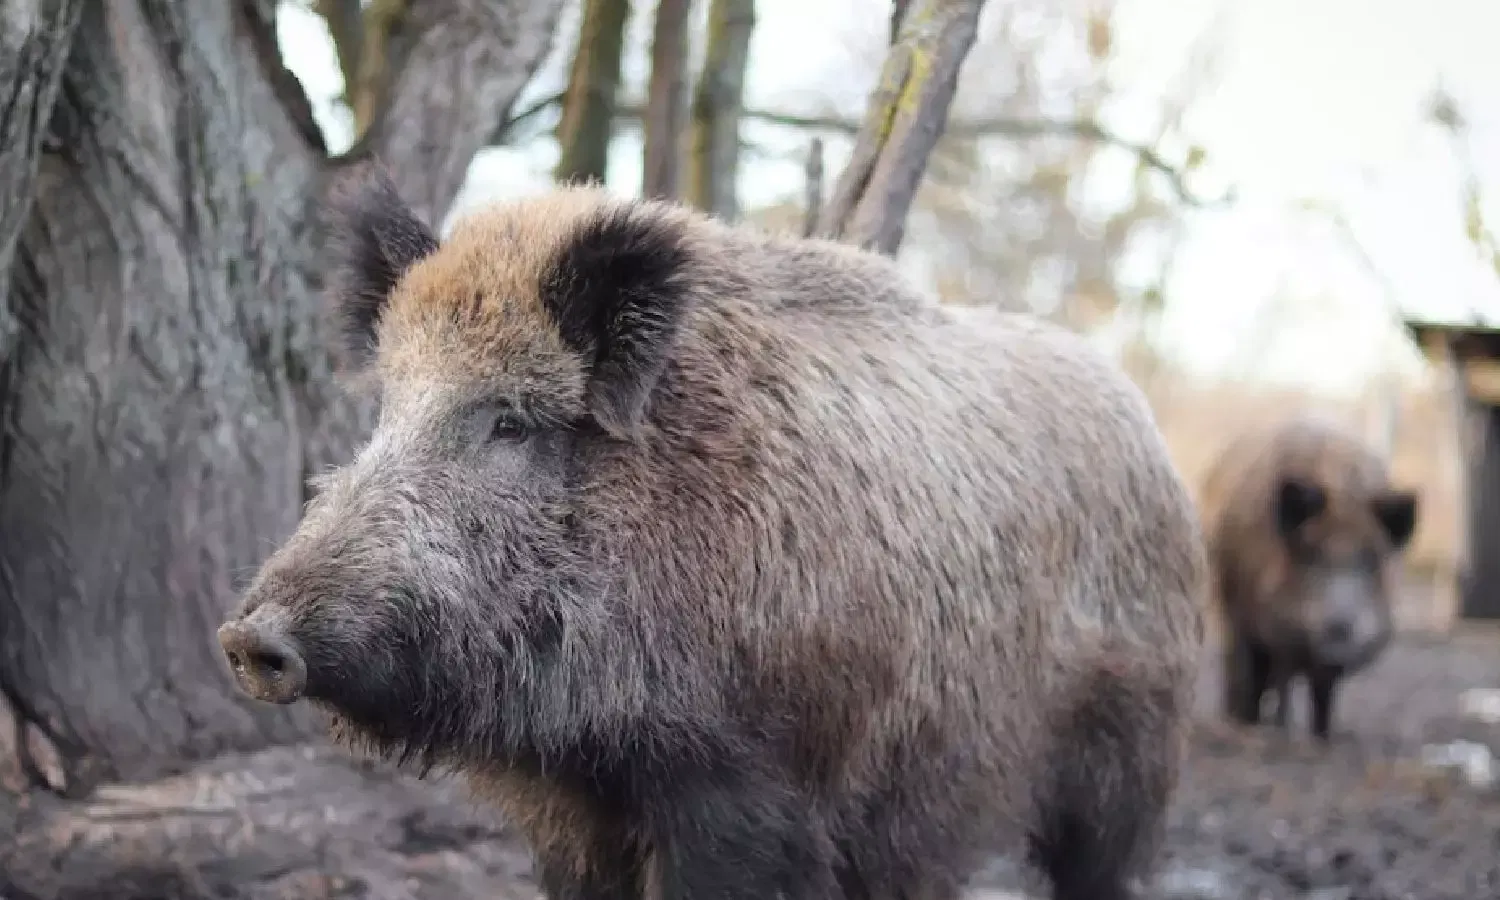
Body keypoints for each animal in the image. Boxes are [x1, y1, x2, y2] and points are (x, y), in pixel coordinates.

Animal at [217, 161, 1208, 900]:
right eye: (387, 405)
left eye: (510, 421)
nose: (249, 637)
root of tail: (1150, 431)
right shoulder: (569, 811)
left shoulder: (748, 784)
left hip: (1130, 750)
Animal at [1200, 413, 1419, 742]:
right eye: (1311, 553)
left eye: (1370, 560)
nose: (1340, 625)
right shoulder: (1257, 624)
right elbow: (1267, 677)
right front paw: (1272, 730)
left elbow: (1323, 693)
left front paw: (1323, 737)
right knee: (1247, 673)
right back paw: (1246, 721)